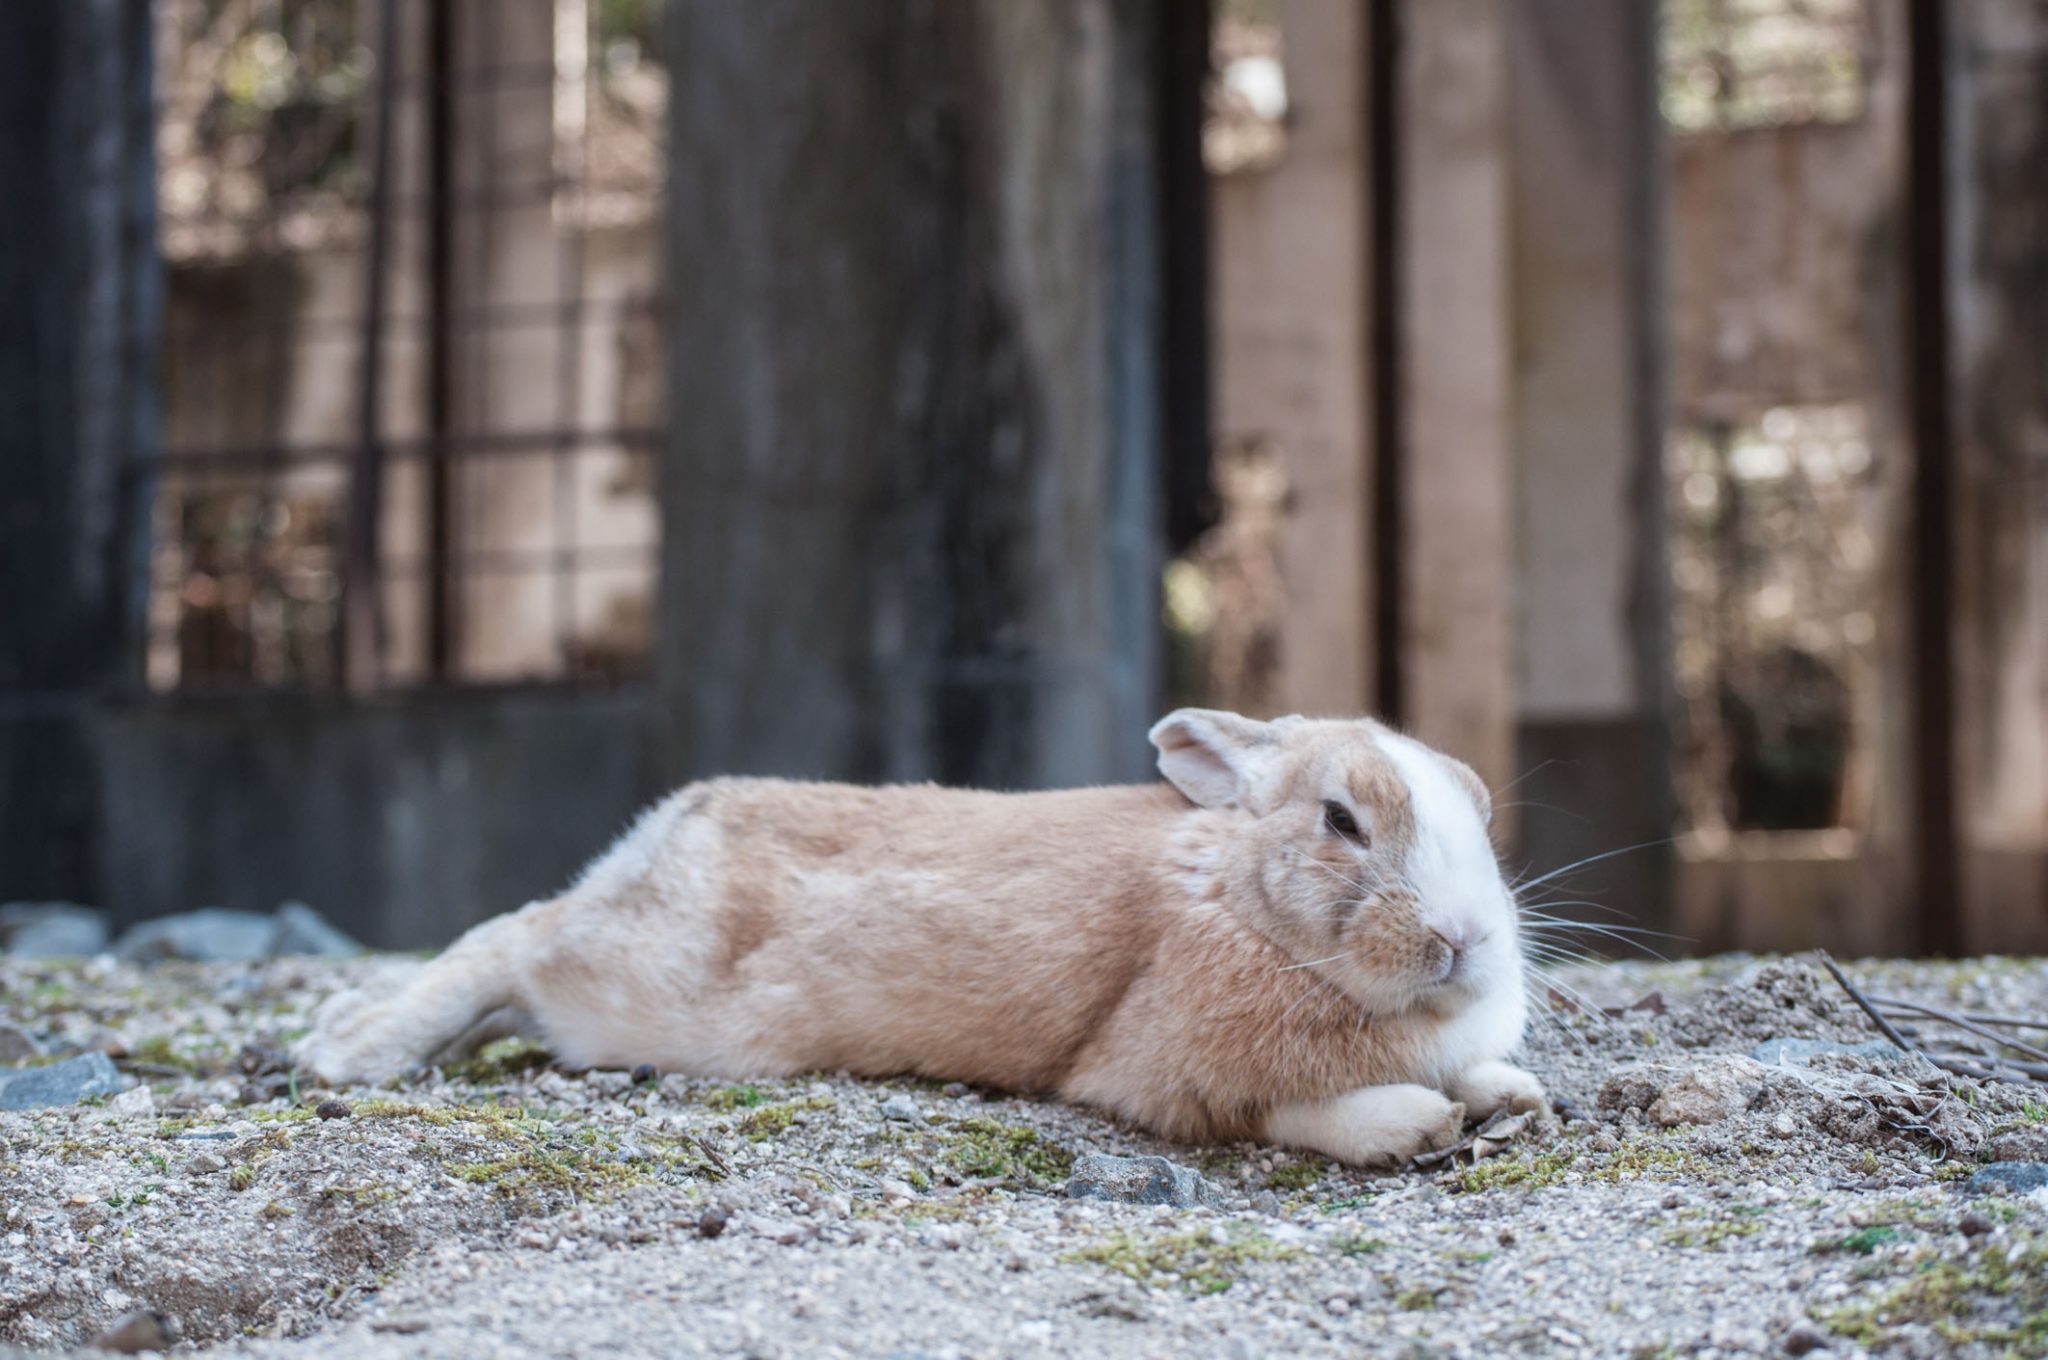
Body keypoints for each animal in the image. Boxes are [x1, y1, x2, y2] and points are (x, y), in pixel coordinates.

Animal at [297, 709, 1546, 1167]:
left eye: (1481, 807)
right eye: (1340, 820)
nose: (1464, 937)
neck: (1236, 895)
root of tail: (666, 826)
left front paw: (1508, 1095)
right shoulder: (1160, 1073)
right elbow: (1292, 1108)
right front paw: (1414, 1122)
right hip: (629, 989)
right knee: (518, 935)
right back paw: (346, 1049)